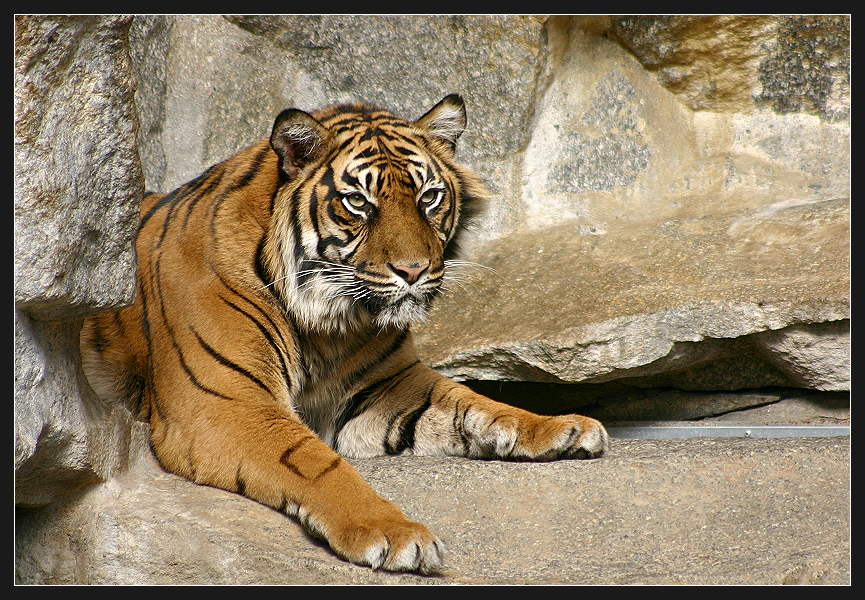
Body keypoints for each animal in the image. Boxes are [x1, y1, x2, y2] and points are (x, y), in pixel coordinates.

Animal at [81, 96, 608, 576]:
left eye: (429, 198)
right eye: (358, 201)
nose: (414, 271)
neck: (329, 323)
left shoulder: (391, 384)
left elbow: (476, 404)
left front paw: (559, 426)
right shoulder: (223, 403)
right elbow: (315, 464)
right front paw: (397, 533)